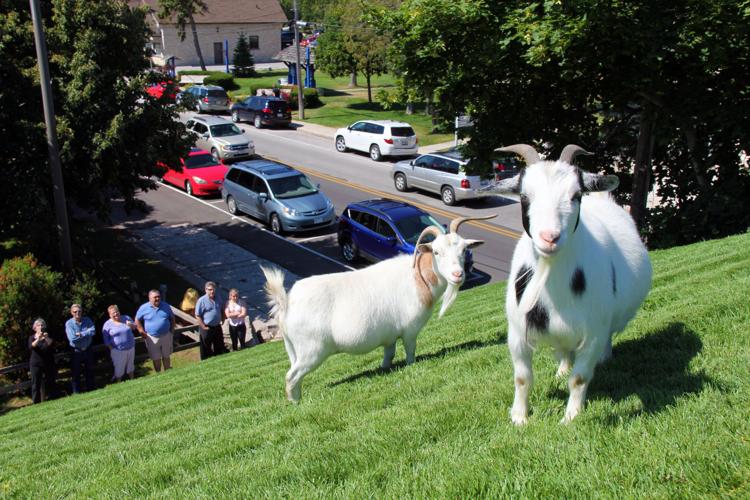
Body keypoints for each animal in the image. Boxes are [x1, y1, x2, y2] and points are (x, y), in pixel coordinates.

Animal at [261, 215, 494, 402]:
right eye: (436, 252)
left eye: (464, 249)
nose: (457, 275)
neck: (418, 277)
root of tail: (287, 303)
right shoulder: (410, 330)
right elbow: (410, 351)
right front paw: (411, 366)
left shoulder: (389, 337)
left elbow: (388, 355)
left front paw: (384, 370)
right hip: (312, 350)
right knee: (291, 376)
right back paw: (296, 404)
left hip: (293, 349)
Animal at [482, 144, 652, 424]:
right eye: (524, 196)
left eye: (576, 195)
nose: (549, 237)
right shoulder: (517, 332)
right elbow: (522, 378)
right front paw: (519, 417)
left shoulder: (593, 332)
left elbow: (580, 378)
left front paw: (571, 417)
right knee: (563, 350)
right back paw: (561, 369)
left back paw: (603, 359)